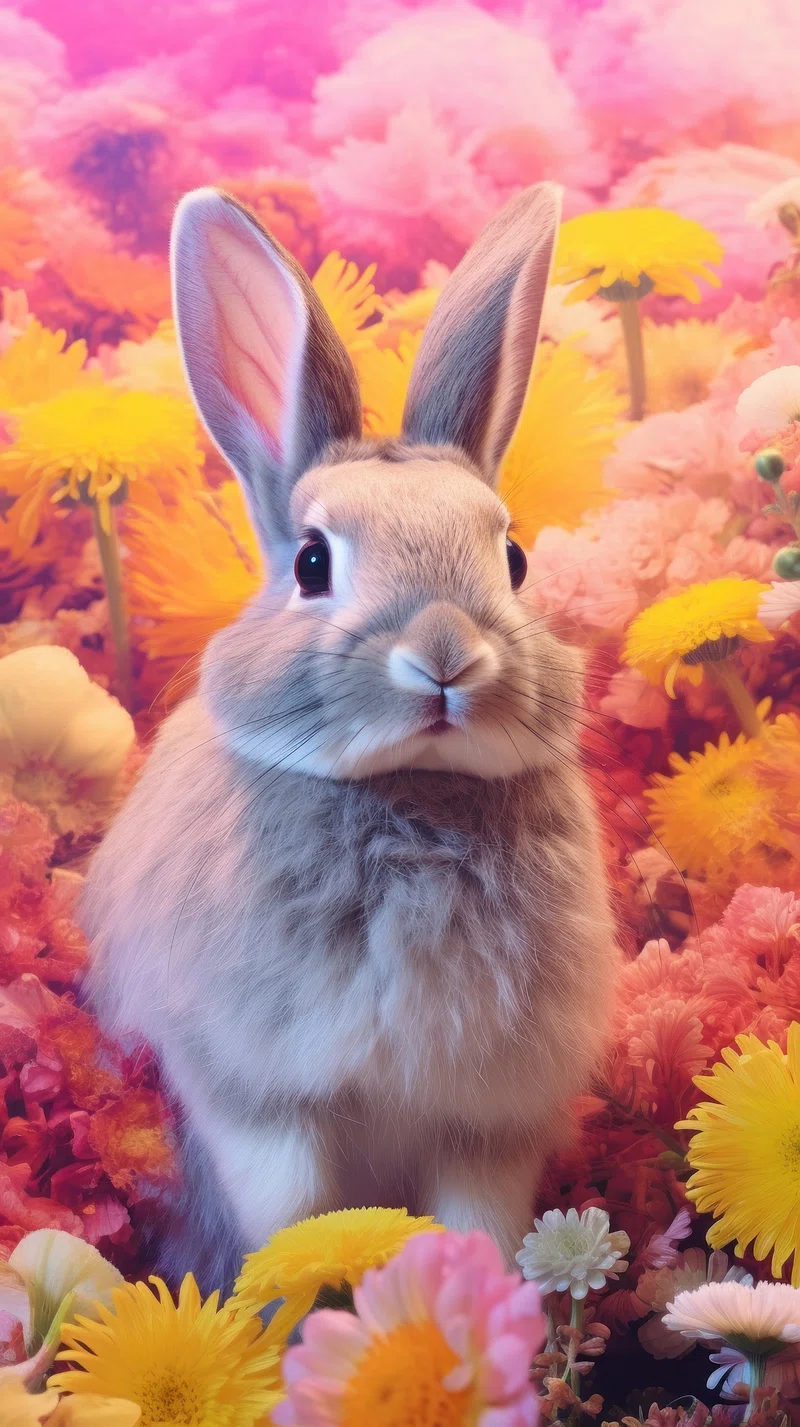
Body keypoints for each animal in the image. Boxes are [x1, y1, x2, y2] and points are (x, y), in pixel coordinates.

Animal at [81, 180, 619, 1294]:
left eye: (511, 559)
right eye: (312, 563)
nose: (446, 654)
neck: (411, 794)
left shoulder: (488, 1118)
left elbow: (478, 1222)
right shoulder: (255, 1090)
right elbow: (295, 1215)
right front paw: (301, 1307)